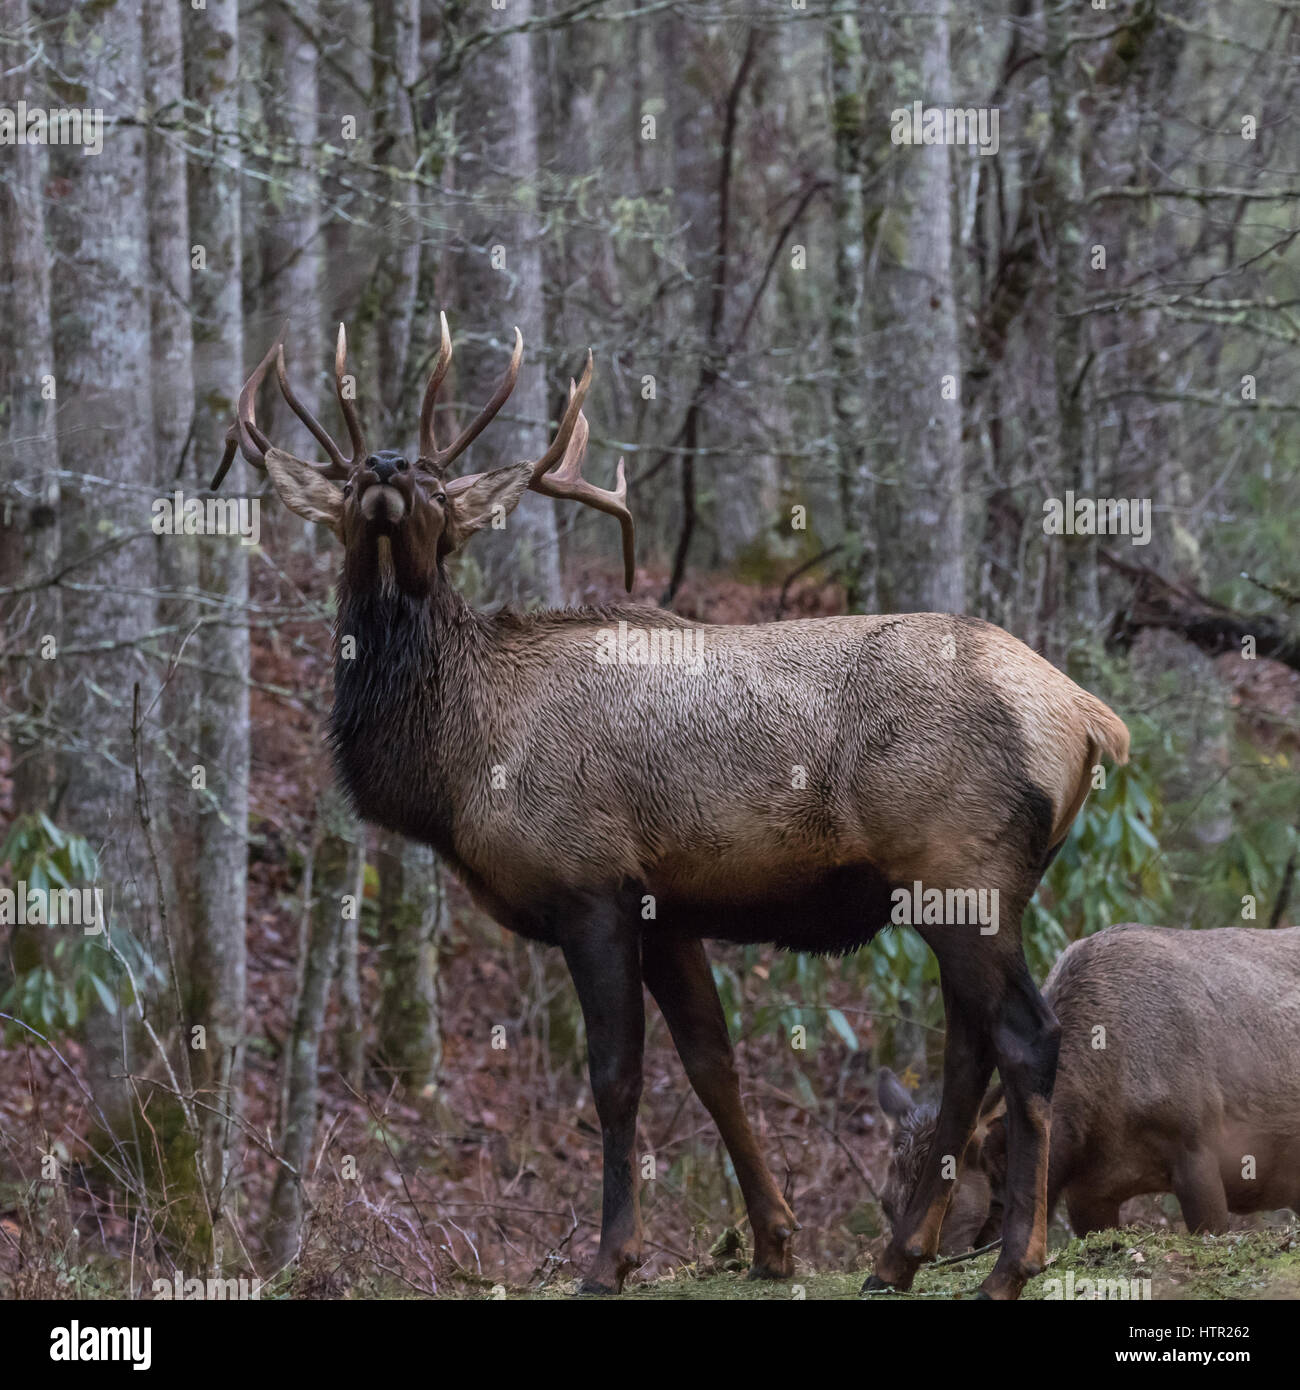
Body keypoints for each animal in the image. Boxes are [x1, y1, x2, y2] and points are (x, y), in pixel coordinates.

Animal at [213, 316, 1129, 1299]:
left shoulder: (591, 885)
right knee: (968, 1049)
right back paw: (897, 1257)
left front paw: (611, 1258)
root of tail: (1088, 720)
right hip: (956, 889)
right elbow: (712, 1066)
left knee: (1026, 1038)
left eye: (432, 486)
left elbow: (616, 1078)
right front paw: (773, 1242)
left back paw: (1011, 1261)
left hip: (964, 871)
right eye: (351, 483)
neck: (458, 771)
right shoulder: (669, 909)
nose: (384, 465)